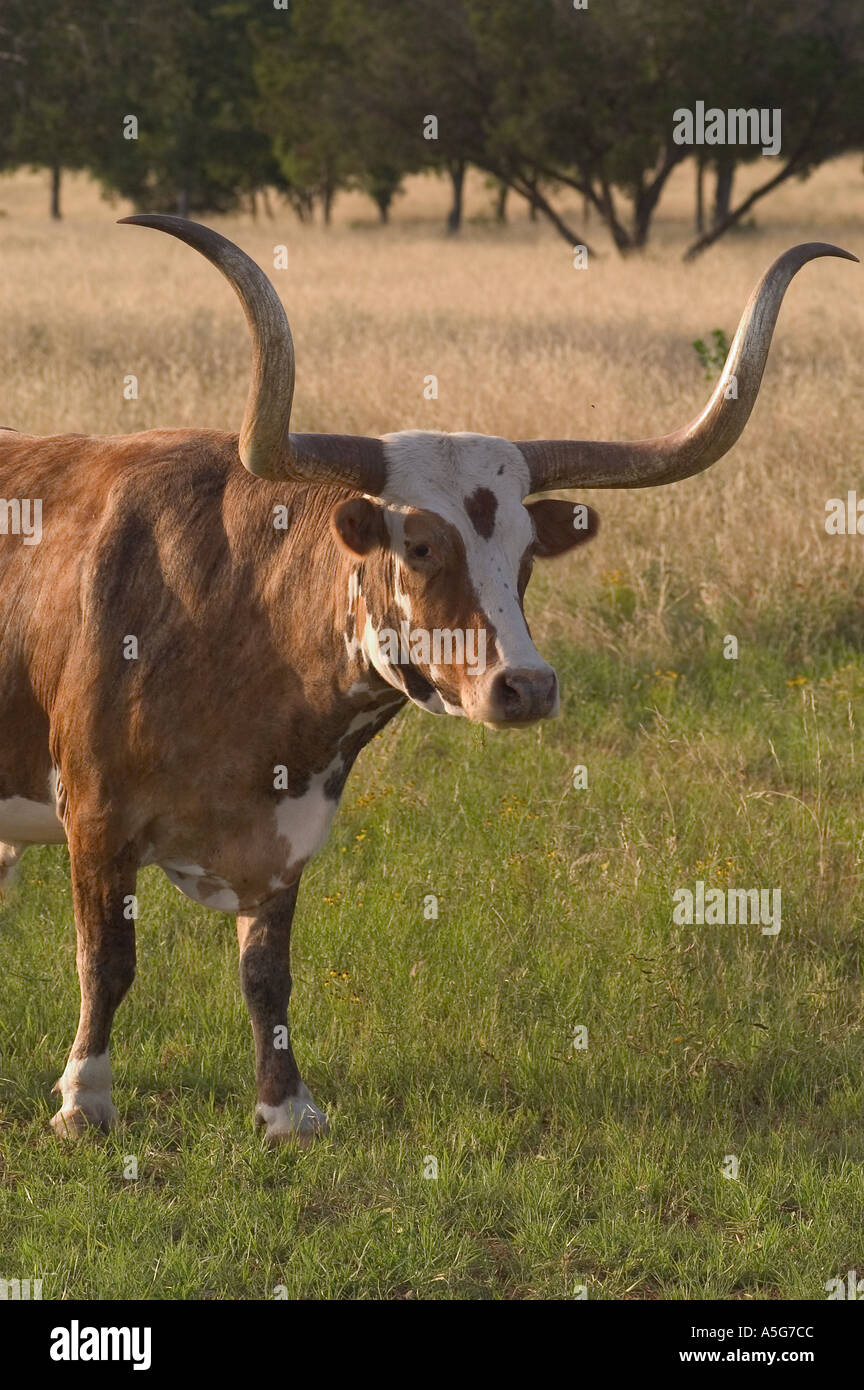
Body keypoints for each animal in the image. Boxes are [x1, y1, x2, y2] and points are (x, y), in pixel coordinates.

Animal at [0, 217, 854, 1142]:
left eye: (526, 555)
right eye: (417, 545)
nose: (528, 686)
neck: (230, 611)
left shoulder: (289, 832)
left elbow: (268, 974)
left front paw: (286, 1108)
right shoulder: (96, 819)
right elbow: (106, 962)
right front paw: (85, 1100)